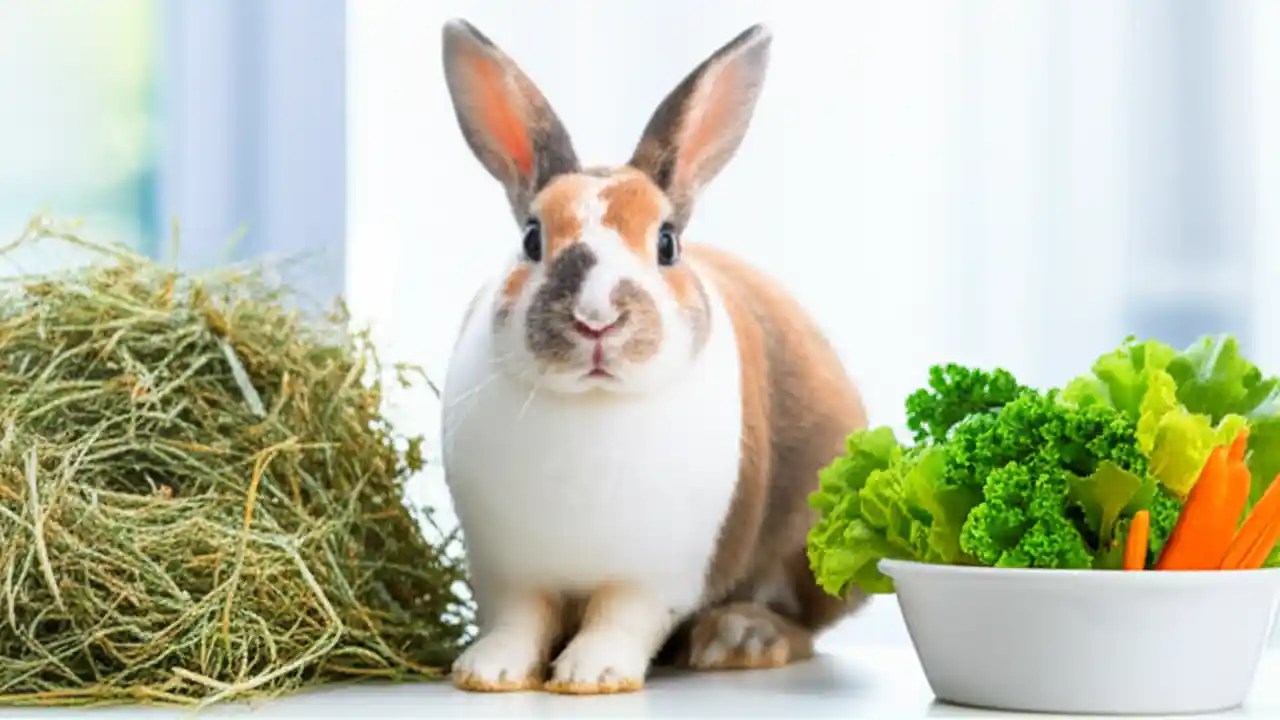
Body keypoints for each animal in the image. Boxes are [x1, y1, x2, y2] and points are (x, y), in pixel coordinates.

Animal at [439, 19, 868, 695]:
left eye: (666, 243)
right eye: (532, 238)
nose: (597, 319)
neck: (591, 405)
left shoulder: (653, 577)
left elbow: (620, 620)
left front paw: (590, 675)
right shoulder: (507, 571)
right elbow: (518, 620)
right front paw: (487, 672)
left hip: (814, 541)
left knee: (800, 618)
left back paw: (739, 638)